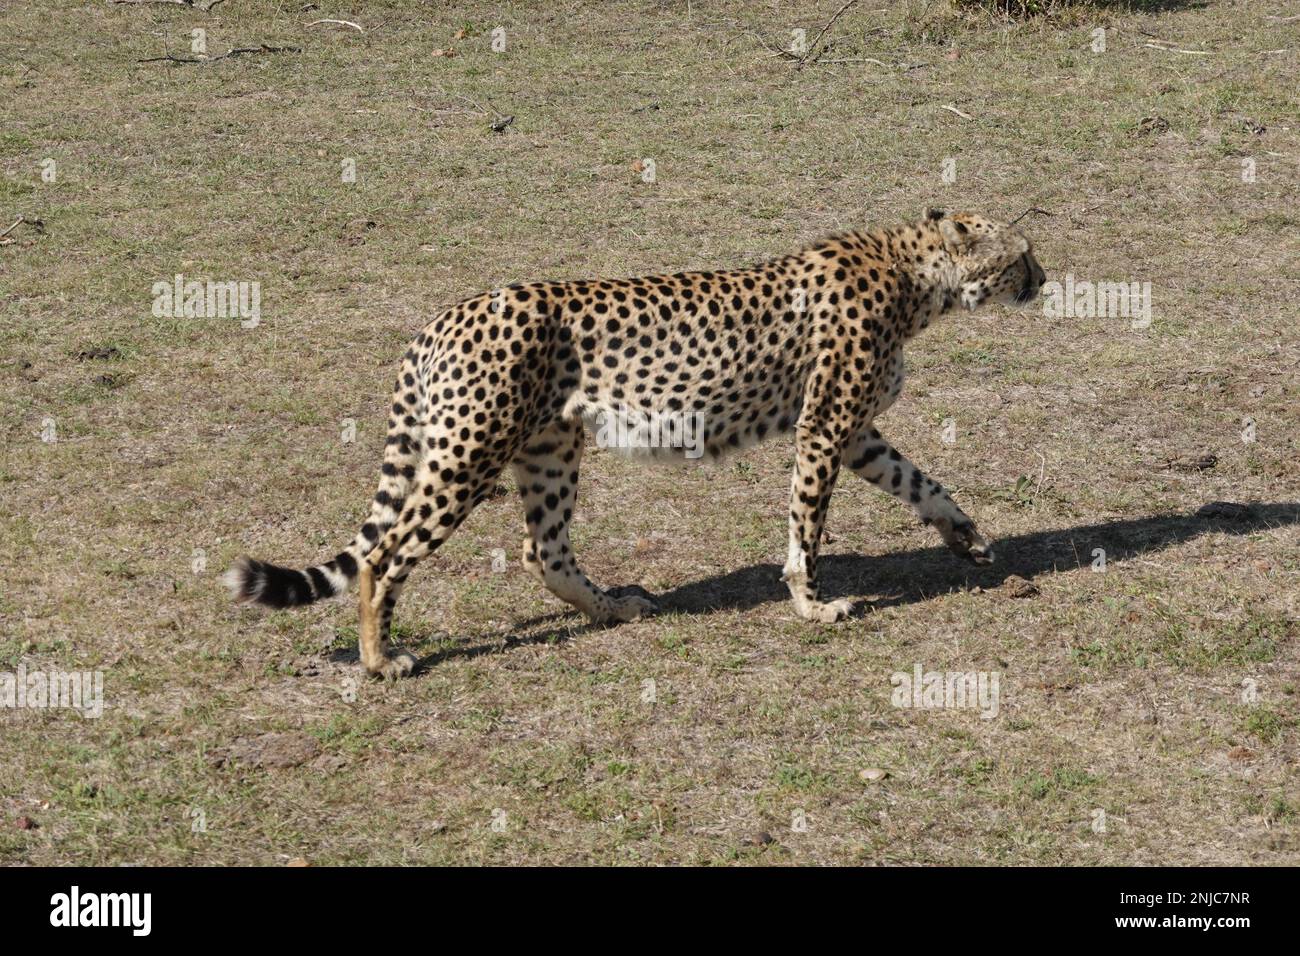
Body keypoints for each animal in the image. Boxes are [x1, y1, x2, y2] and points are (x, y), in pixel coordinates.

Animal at [226, 208, 1046, 679]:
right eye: (1021, 255)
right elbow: (807, 526)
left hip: (548, 451)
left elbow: (922, 482)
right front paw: (812, 605)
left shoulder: (854, 433)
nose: (1043, 279)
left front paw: (968, 538)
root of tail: (446, 313)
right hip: (469, 456)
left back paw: (613, 608)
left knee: (542, 551)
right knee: (384, 554)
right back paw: (379, 659)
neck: (915, 274)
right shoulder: (824, 430)